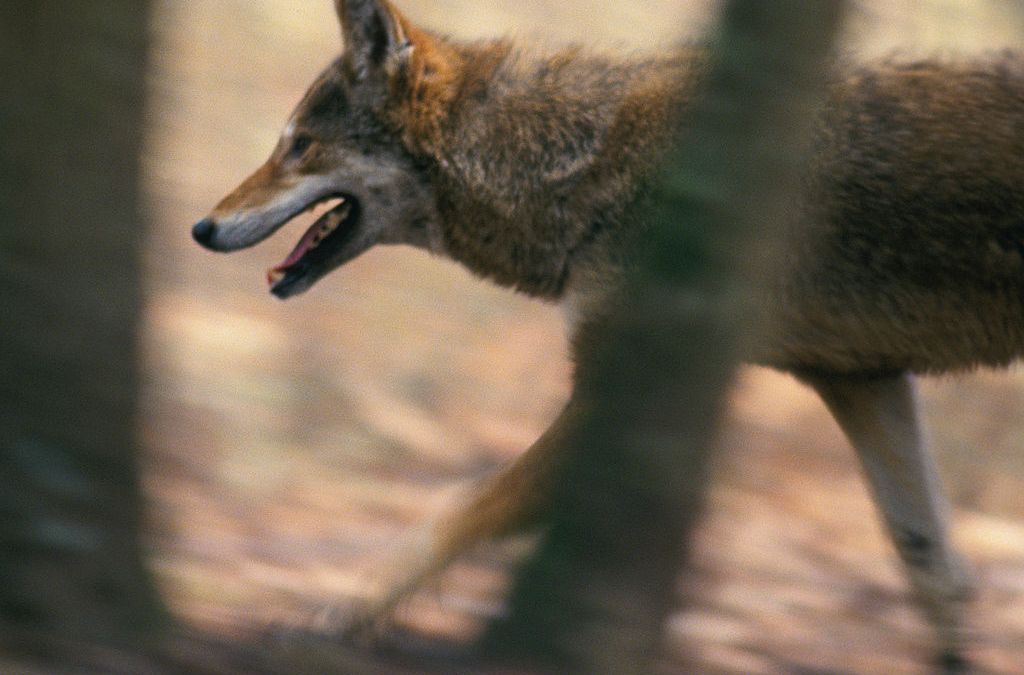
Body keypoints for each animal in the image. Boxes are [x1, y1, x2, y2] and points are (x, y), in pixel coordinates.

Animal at [192, 0, 1024, 663]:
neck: (570, 160)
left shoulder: (611, 394)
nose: (201, 227)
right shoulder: (859, 377)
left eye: (298, 145)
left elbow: (455, 509)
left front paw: (335, 614)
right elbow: (934, 570)